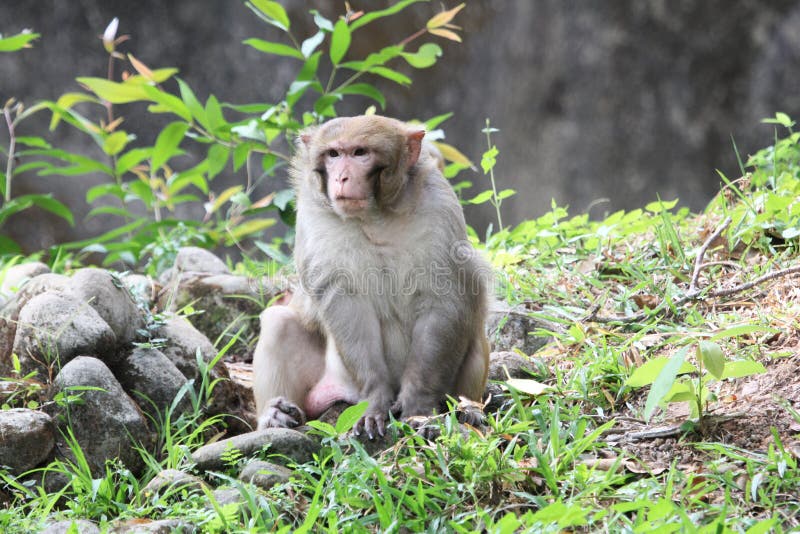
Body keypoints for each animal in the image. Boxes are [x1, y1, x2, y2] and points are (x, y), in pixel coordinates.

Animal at [252, 115, 490, 439]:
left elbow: (445, 298)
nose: (341, 178)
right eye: (333, 154)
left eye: (360, 153)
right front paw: (375, 402)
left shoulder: (438, 204)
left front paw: (417, 407)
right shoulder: (315, 215)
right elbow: (344, 303)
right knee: (279, 322)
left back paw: (469, 410)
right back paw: (275, 415)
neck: (375, 215)